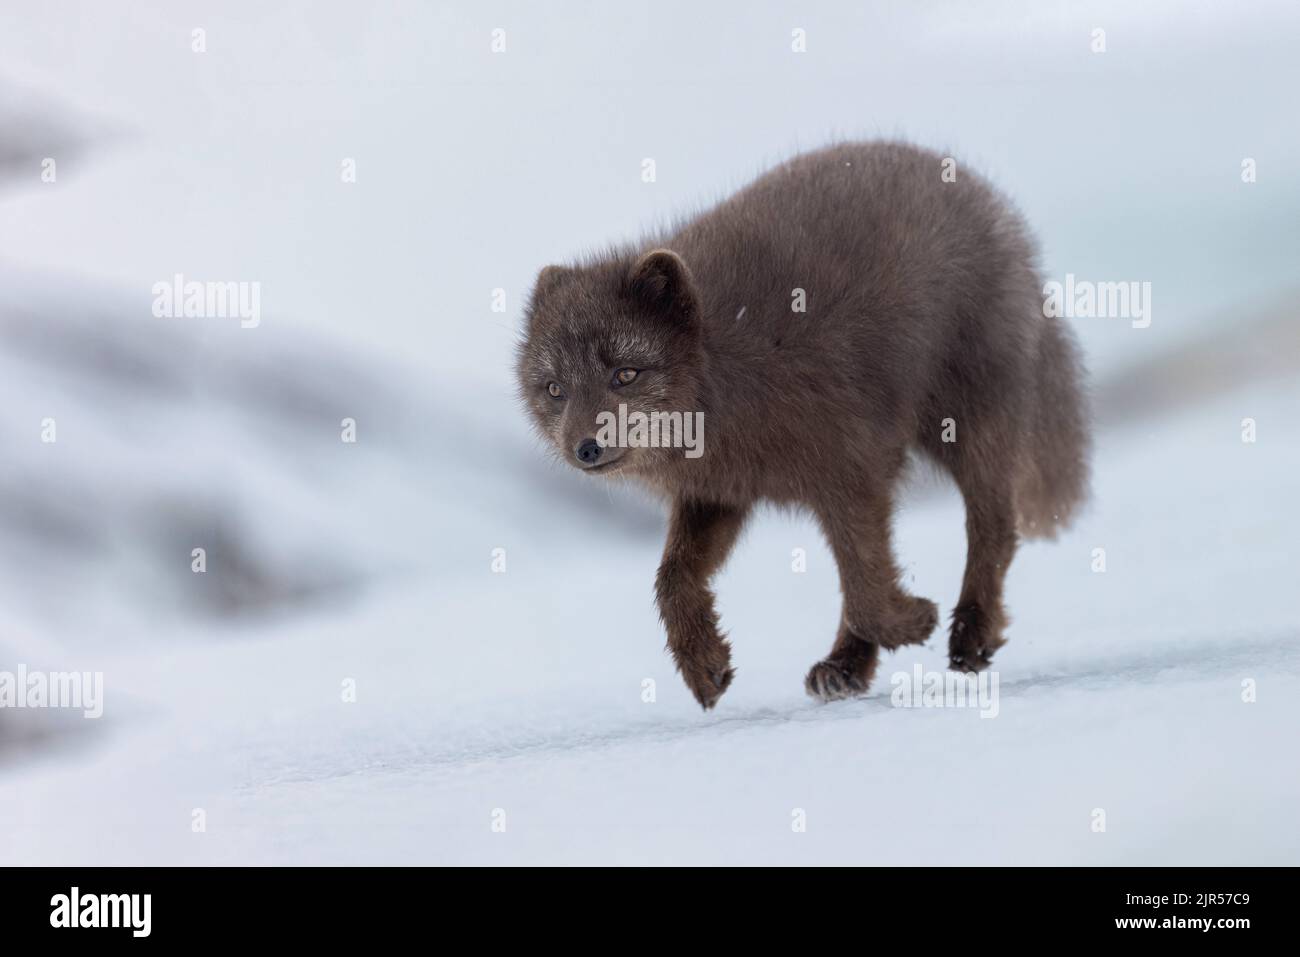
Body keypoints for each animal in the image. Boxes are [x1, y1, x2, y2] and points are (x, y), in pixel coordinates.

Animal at [517, 141, 1090, 710]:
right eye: (555, 389)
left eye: (625, 374)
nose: (585, 447)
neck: (727, 376)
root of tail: (992, 203)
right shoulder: (721, 490)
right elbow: (673, 576)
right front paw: (705, 665)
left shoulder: (852, 467)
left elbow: (864, 582)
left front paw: (913, 621)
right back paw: (845, 667)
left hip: (970, 415)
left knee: (993, 525)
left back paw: (969, 634)